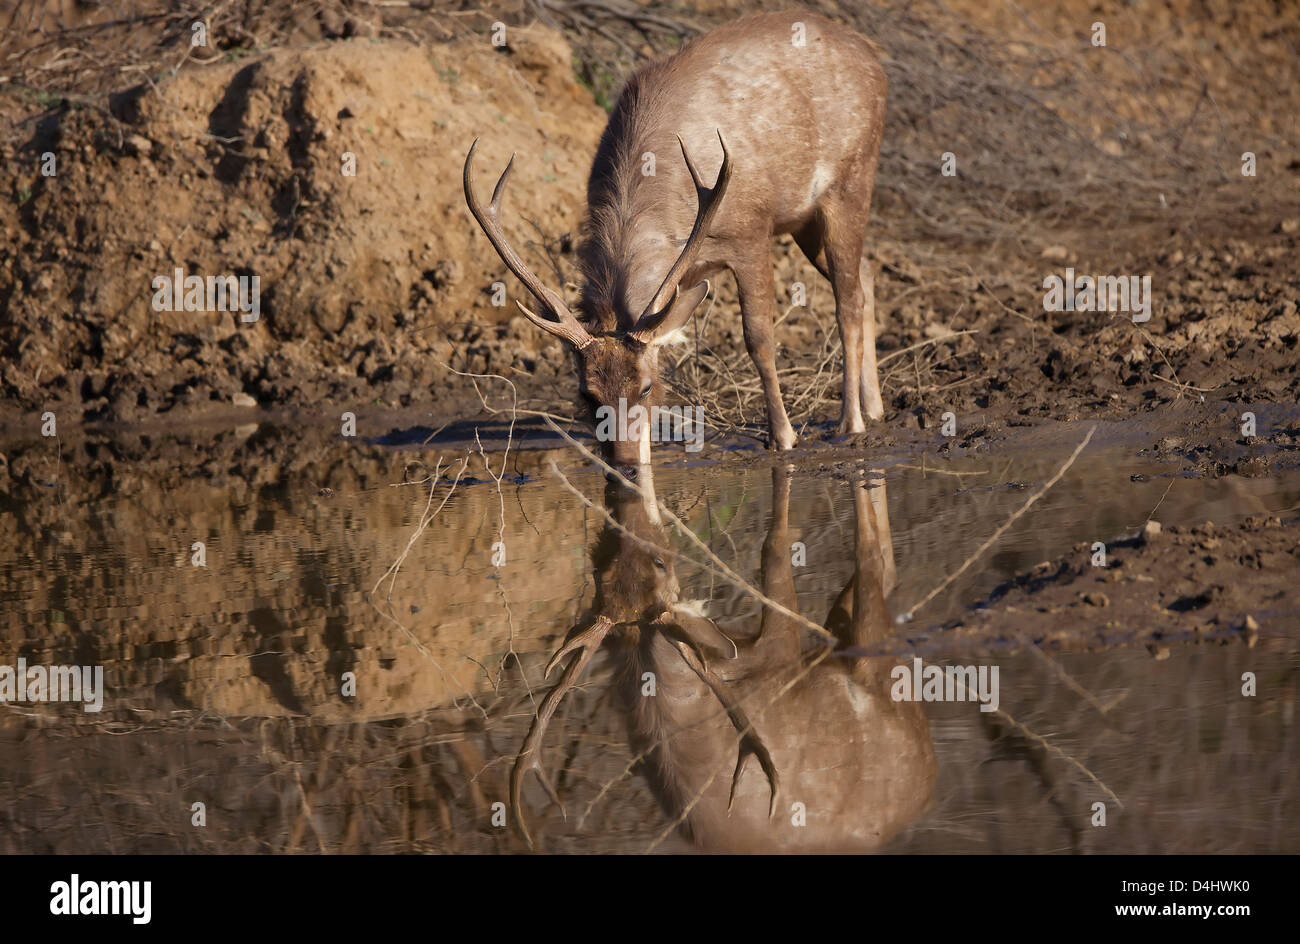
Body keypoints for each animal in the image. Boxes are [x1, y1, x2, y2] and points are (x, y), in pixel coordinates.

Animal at [464, 10, 888, 476]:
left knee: (847, 298)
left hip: (852, 178)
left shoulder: (750, 232)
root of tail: (871, 53)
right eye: (587, 395)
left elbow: (758, 338)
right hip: (805, 218)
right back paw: (875, 408)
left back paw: (851, 421)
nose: (624, 464)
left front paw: (783, 437)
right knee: (867, 274)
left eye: (647, 388)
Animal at [509, 462, 934, 851]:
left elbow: (773, 548)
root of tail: (925, 778)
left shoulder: (777, 651)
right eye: (598, 572)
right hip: (854, 643)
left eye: (659, 563)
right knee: (880, 565)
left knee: (872, 560)